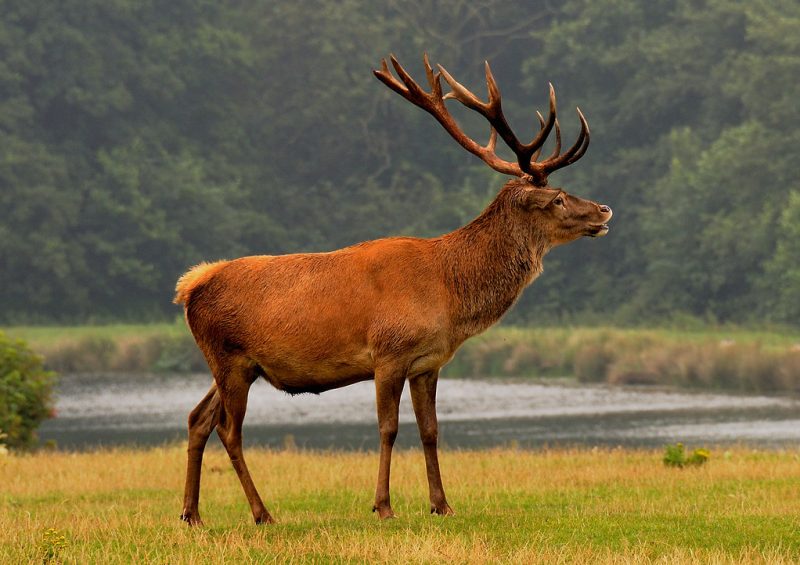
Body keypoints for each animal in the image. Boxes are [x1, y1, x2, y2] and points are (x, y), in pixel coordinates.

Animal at [174, 54, 612, 526]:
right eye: (558, 198)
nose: (604, 209)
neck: (449, 291)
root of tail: (190, 287)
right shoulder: (388, 354)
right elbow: (389, 428)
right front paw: (383, 505)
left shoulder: (427, 363)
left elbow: (430, 430)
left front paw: (442, 504)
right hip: (229, 358)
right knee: (229, 429)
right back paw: (261, 513)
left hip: (235, 365)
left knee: (198, 418)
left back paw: (191, 513)